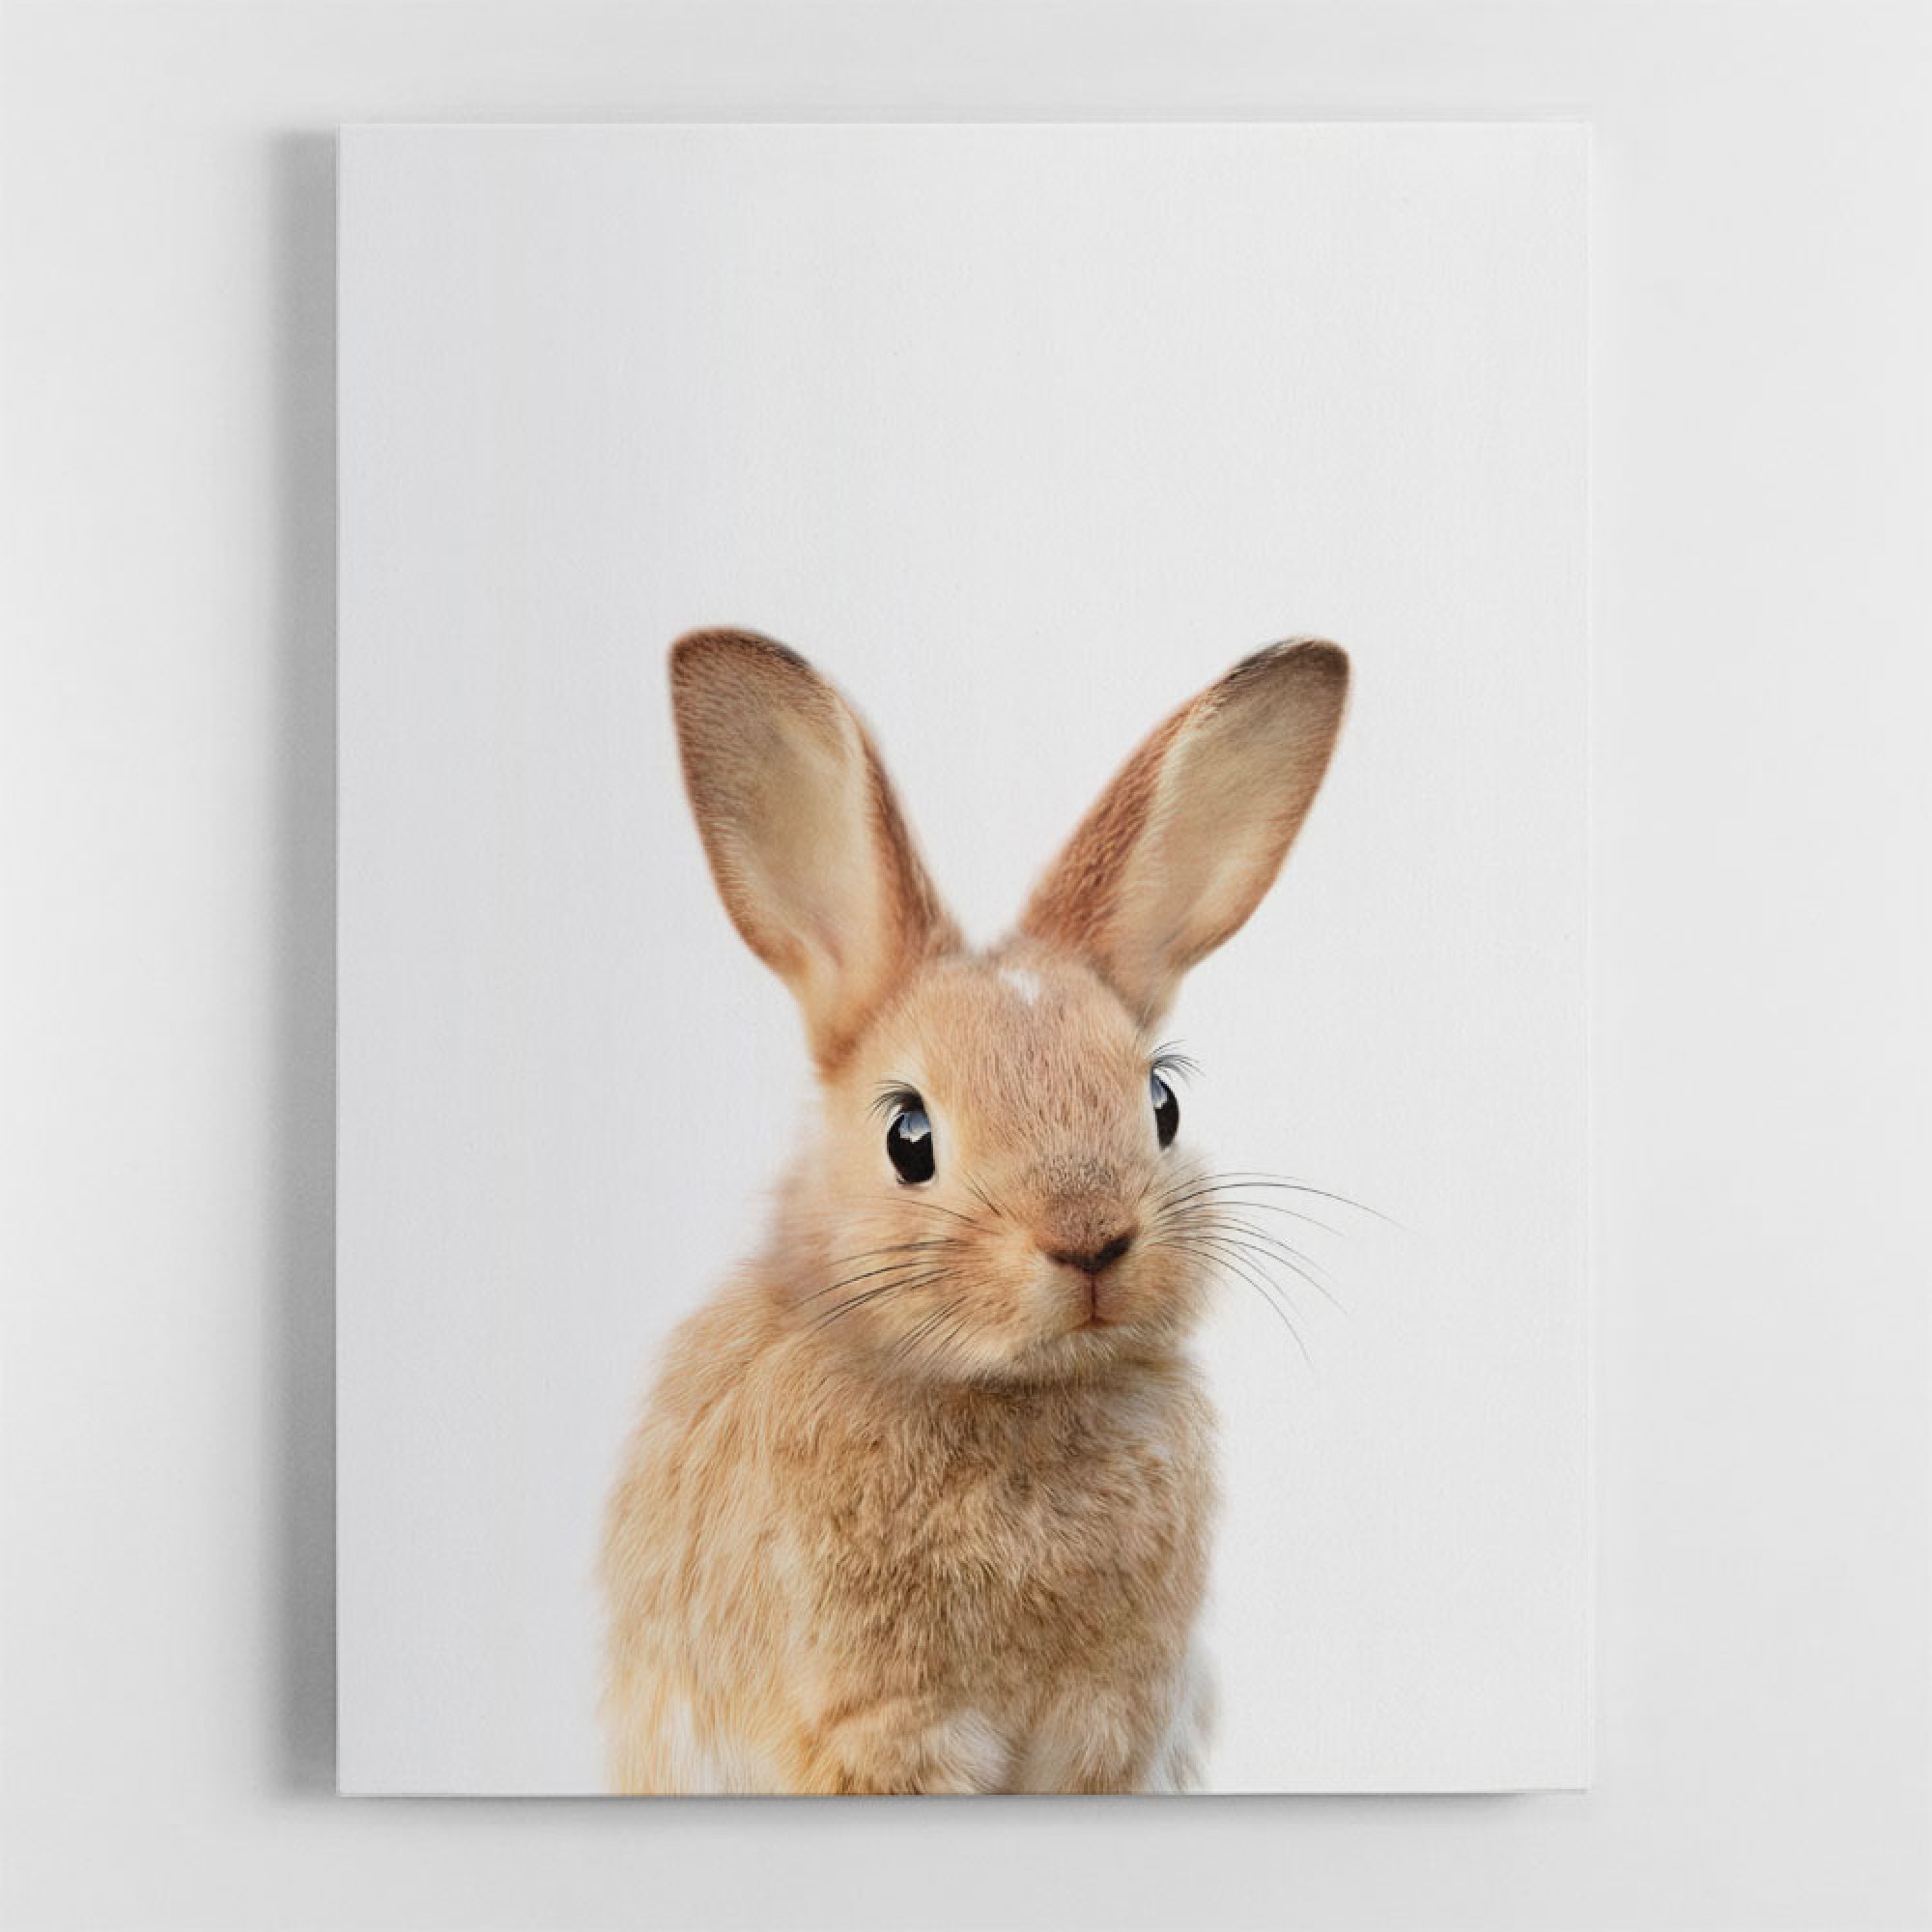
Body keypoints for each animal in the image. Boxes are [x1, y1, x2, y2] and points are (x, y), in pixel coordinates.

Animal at [601, 627, 1349, 1794]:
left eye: (1162, 1102)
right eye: (909, 1134)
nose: (1088, 1240)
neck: (1015, 1394)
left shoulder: (1112, 1726)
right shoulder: (877, 1727)